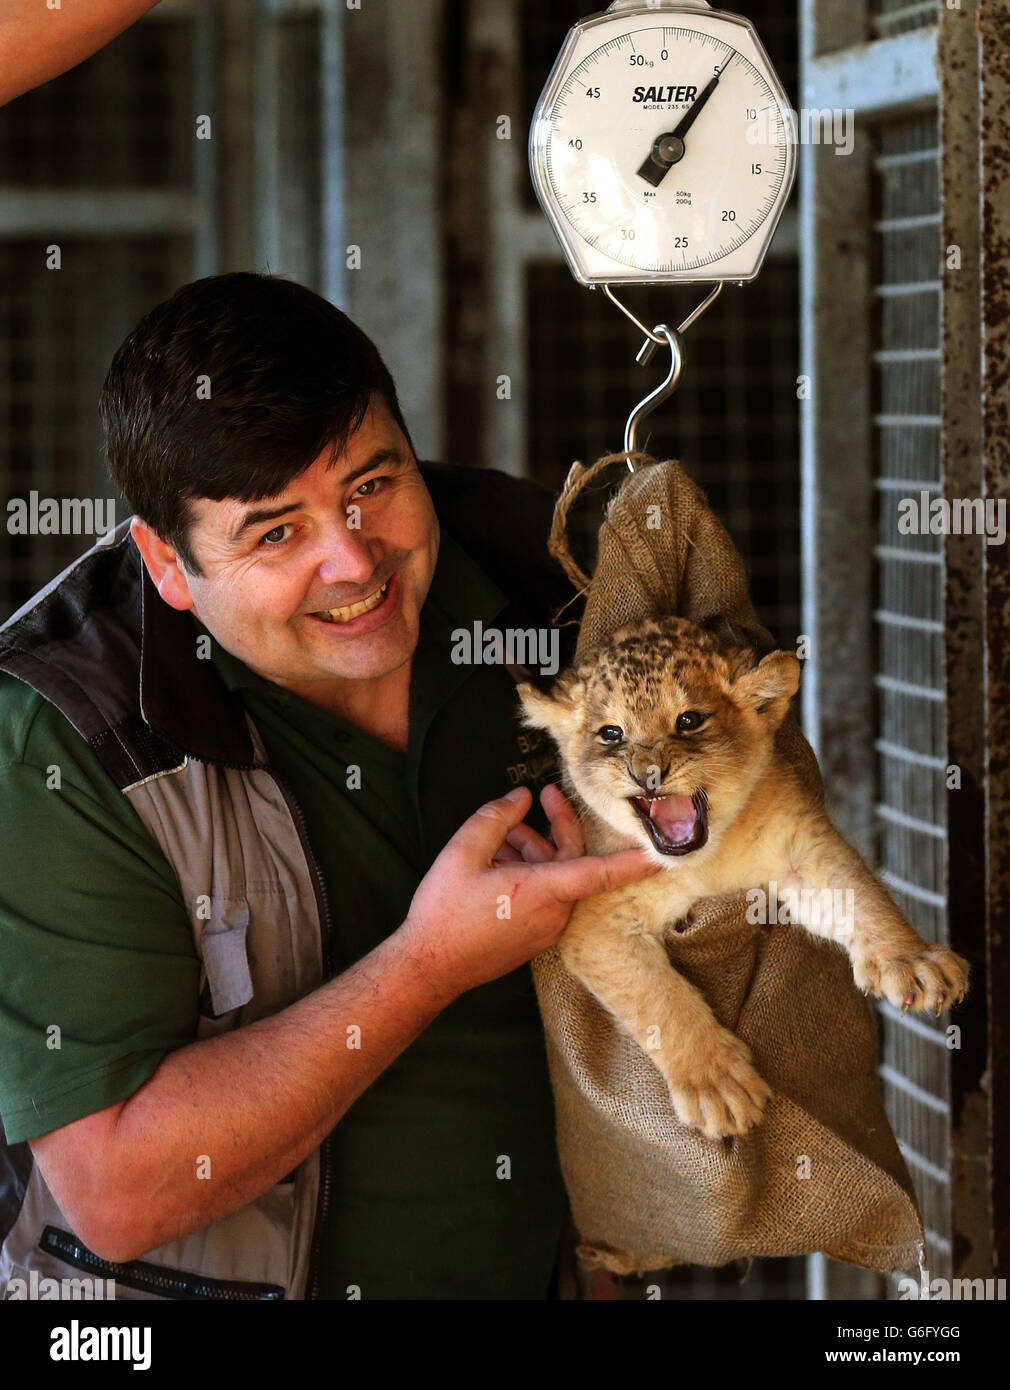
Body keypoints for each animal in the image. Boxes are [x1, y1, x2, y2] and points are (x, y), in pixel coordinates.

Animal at [517, 614, 970, 1140]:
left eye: (689, 720)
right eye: (611, 733)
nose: (647, 774)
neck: (704, 860)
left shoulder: (801, 846)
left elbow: (857, 891)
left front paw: (914, 961)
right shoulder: (594, 917)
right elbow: (658, 997)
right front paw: (717, 1086)